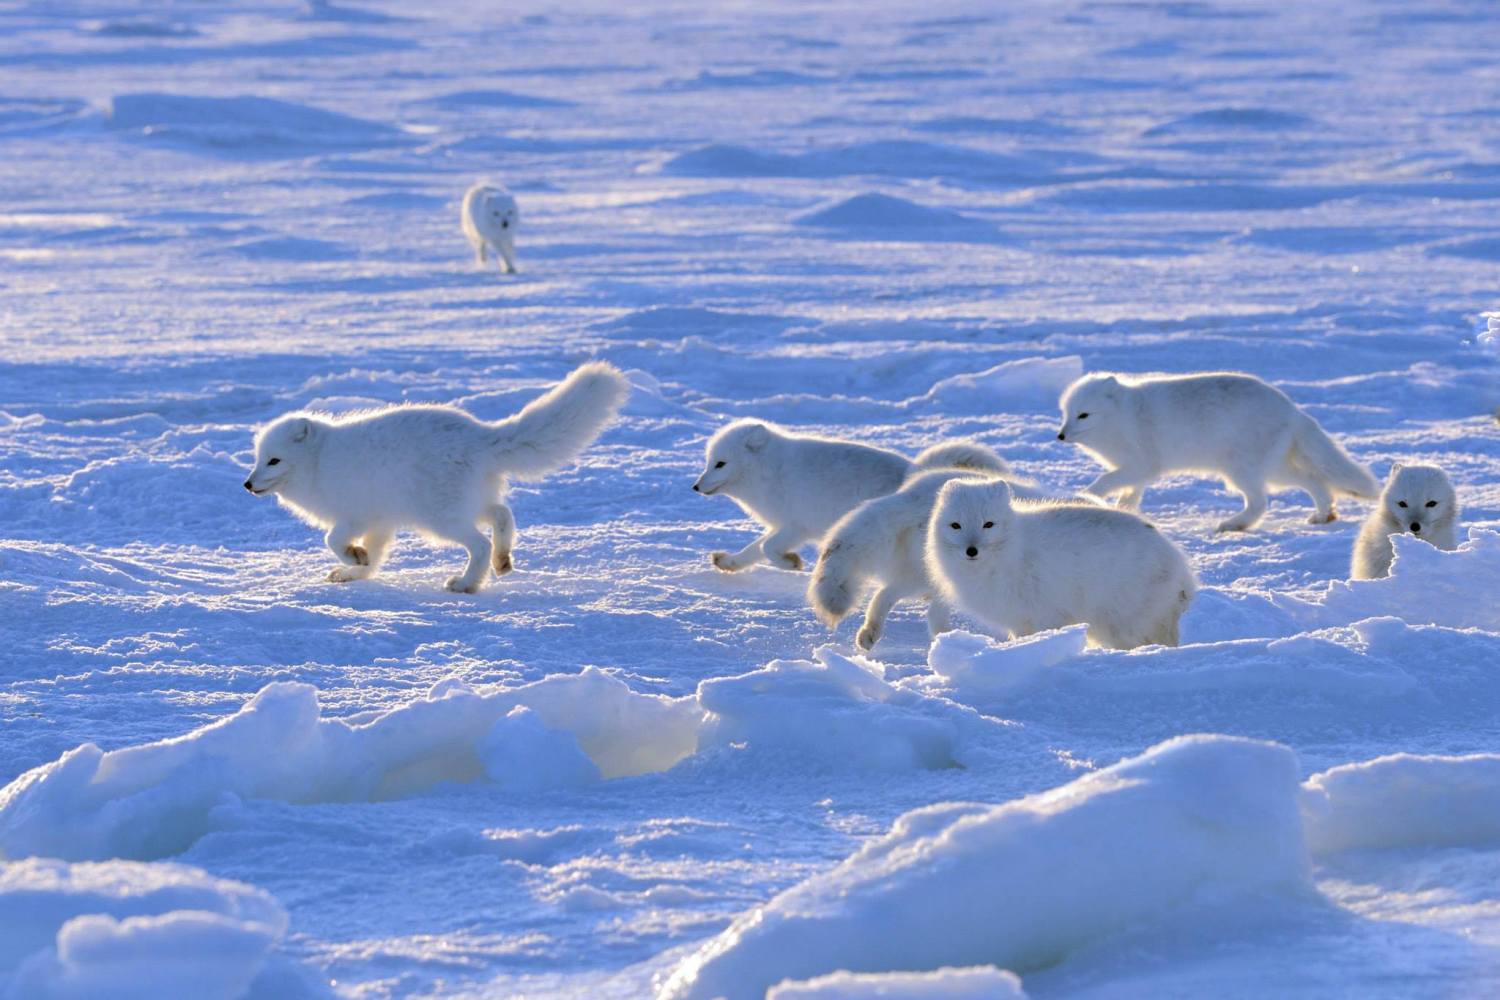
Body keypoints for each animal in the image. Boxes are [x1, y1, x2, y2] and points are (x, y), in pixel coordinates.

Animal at [244, 363, 628, 592]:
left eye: (274, 461)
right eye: (257, 459)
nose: (247, 484)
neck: (319, 461)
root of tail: (482, 435)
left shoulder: (357, 514)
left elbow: (333, 540)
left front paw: (353, 558)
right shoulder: (381, 521)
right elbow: (375, 554)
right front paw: (357, 569)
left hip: (438, 519)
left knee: (480, 543)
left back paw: (467, 583)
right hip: (462, 504)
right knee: (503, 515)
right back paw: (502, 561)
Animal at [692, 419, 1008, 572]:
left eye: (720, 464)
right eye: (708, 462)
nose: (695, 487)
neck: (770, 470)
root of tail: (916, 475)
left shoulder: (796, 526)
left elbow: (767, 548)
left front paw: (792, 563)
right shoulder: (783, 526)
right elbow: (755, 549)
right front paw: (730, 563)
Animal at [1057, 371, 1377, 532]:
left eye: (1084, 415)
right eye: (1066, 414)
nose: (1060, 436)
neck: (1124, 416)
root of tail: (1292, 410)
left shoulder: (1141, 465)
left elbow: (1105, 481)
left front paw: (1087, 497)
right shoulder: (1136, 471)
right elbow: (1130, 495)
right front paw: (1121, 511)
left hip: (1241, 470)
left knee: (1261, 502)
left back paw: (1234, 524)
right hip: (1273, 469)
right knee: (1314, 480)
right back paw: (1324, 515)